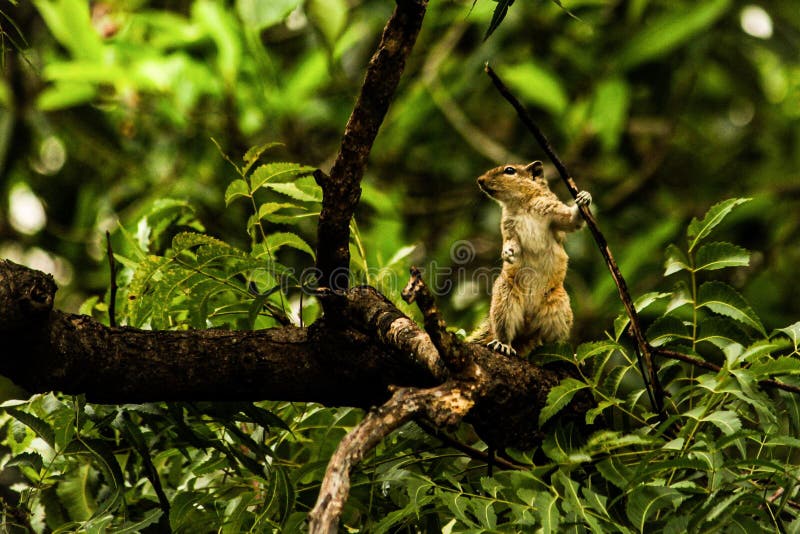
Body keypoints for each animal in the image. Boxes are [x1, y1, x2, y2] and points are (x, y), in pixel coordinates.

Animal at [469, 161, 591, 357]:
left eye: (510, 170)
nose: (480, 180)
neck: (521, 205)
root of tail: (527, 327)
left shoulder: (552, 211)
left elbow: (571, 221)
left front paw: (584, 198)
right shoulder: (509, 228)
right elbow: (512, 243)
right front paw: (507, 253)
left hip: (558, 310)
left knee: (551, 341)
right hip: (505, 301)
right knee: (505, 331)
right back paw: (502, 344)